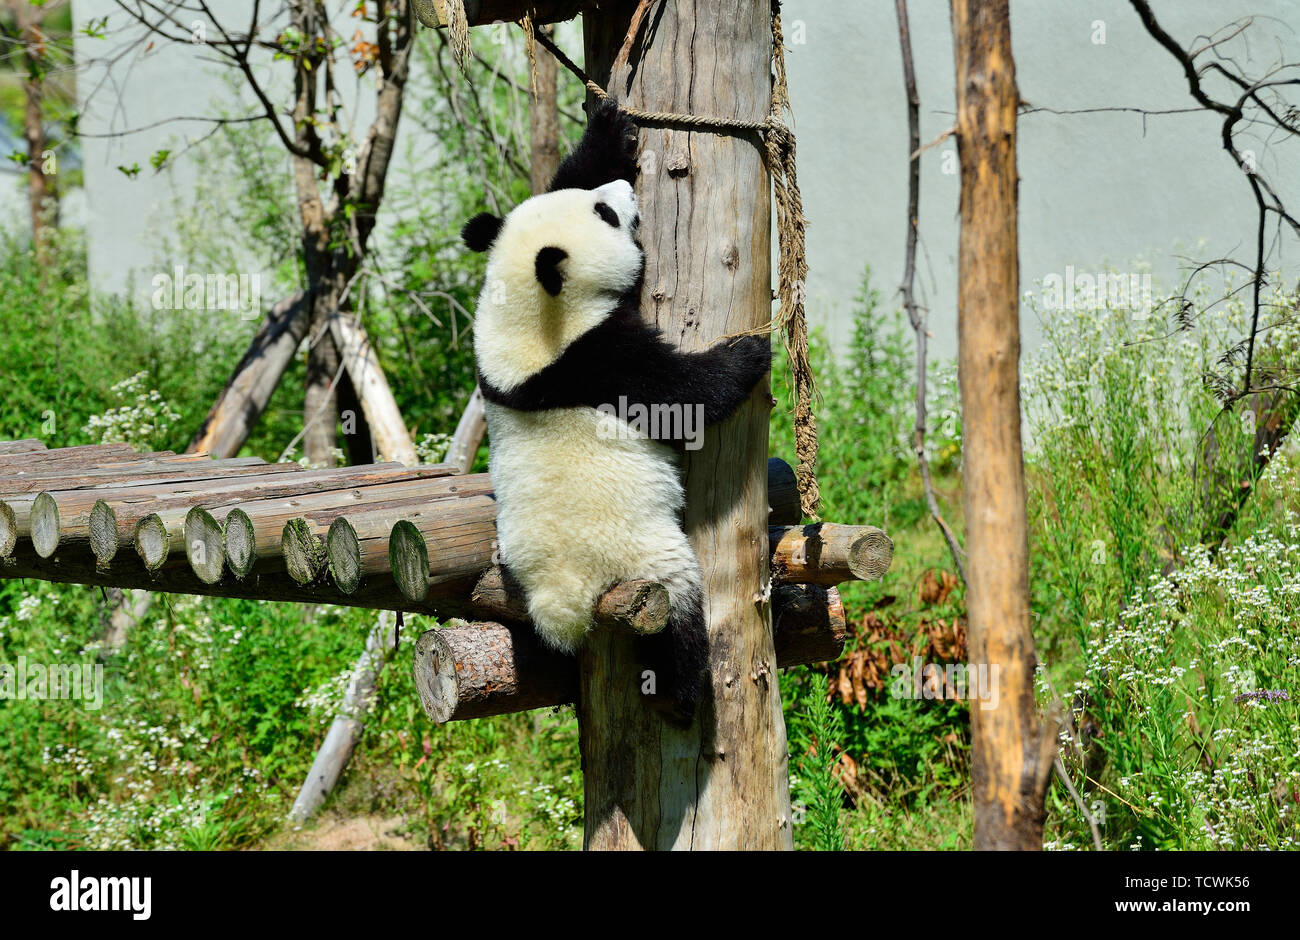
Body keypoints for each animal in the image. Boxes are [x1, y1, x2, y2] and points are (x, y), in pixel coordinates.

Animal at [461, 100, 771, 722]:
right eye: (604, 213)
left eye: (595, 200)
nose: (627, 190)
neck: (532, 316)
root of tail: (568, 602)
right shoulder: (596, 358)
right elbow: (685, 399)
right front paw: (749, 352)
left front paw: (607, 124)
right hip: (645, 558)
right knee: (678, 613)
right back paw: (681, 695)